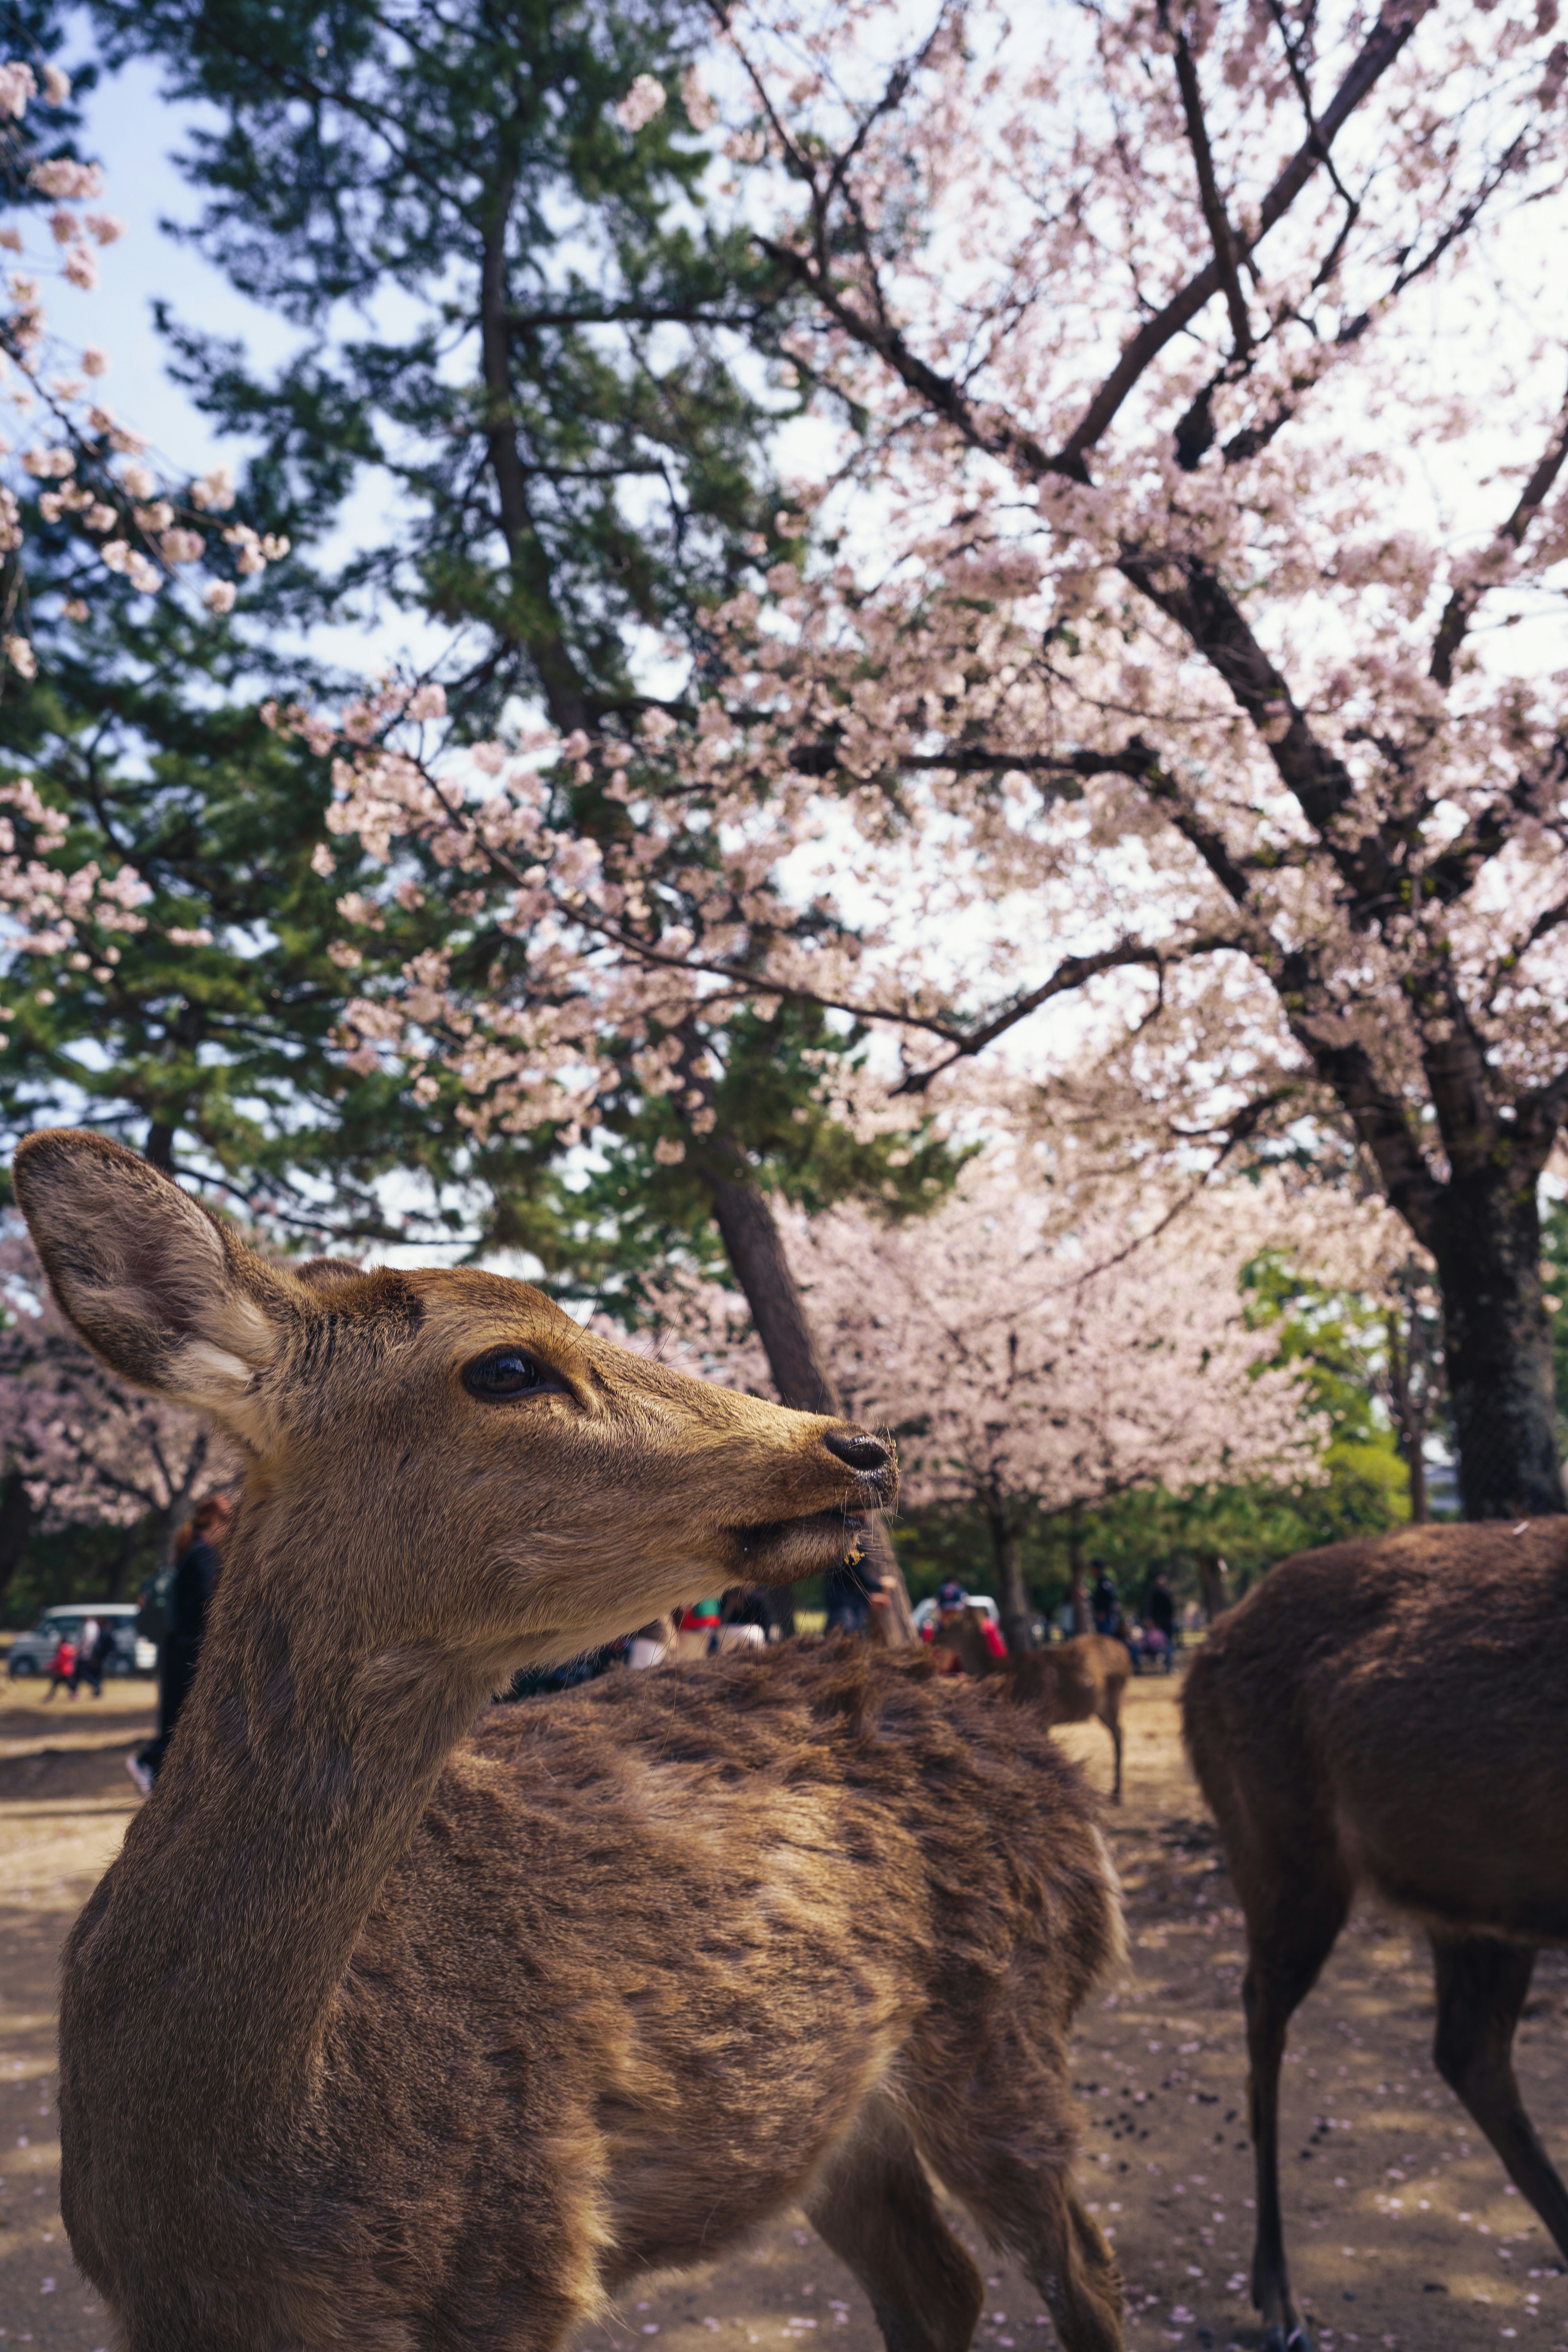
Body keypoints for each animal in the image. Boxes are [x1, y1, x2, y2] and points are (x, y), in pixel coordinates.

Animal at [932, 1610, 1132, 1801]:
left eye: (949, 1626)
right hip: (1101, 1708)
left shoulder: (1040, 1714)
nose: (934, 1641)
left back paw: (1117, 1793)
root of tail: (1124, 1651)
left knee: (1119, 1733)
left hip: (1114, 1695)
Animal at [1182, 1518, 1568, 2352]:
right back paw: (1279, 2297)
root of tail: (1203, 1650)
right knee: (1260, 2014)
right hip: (1282, 1853)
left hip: (1480, 1901)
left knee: (1467, 2053)